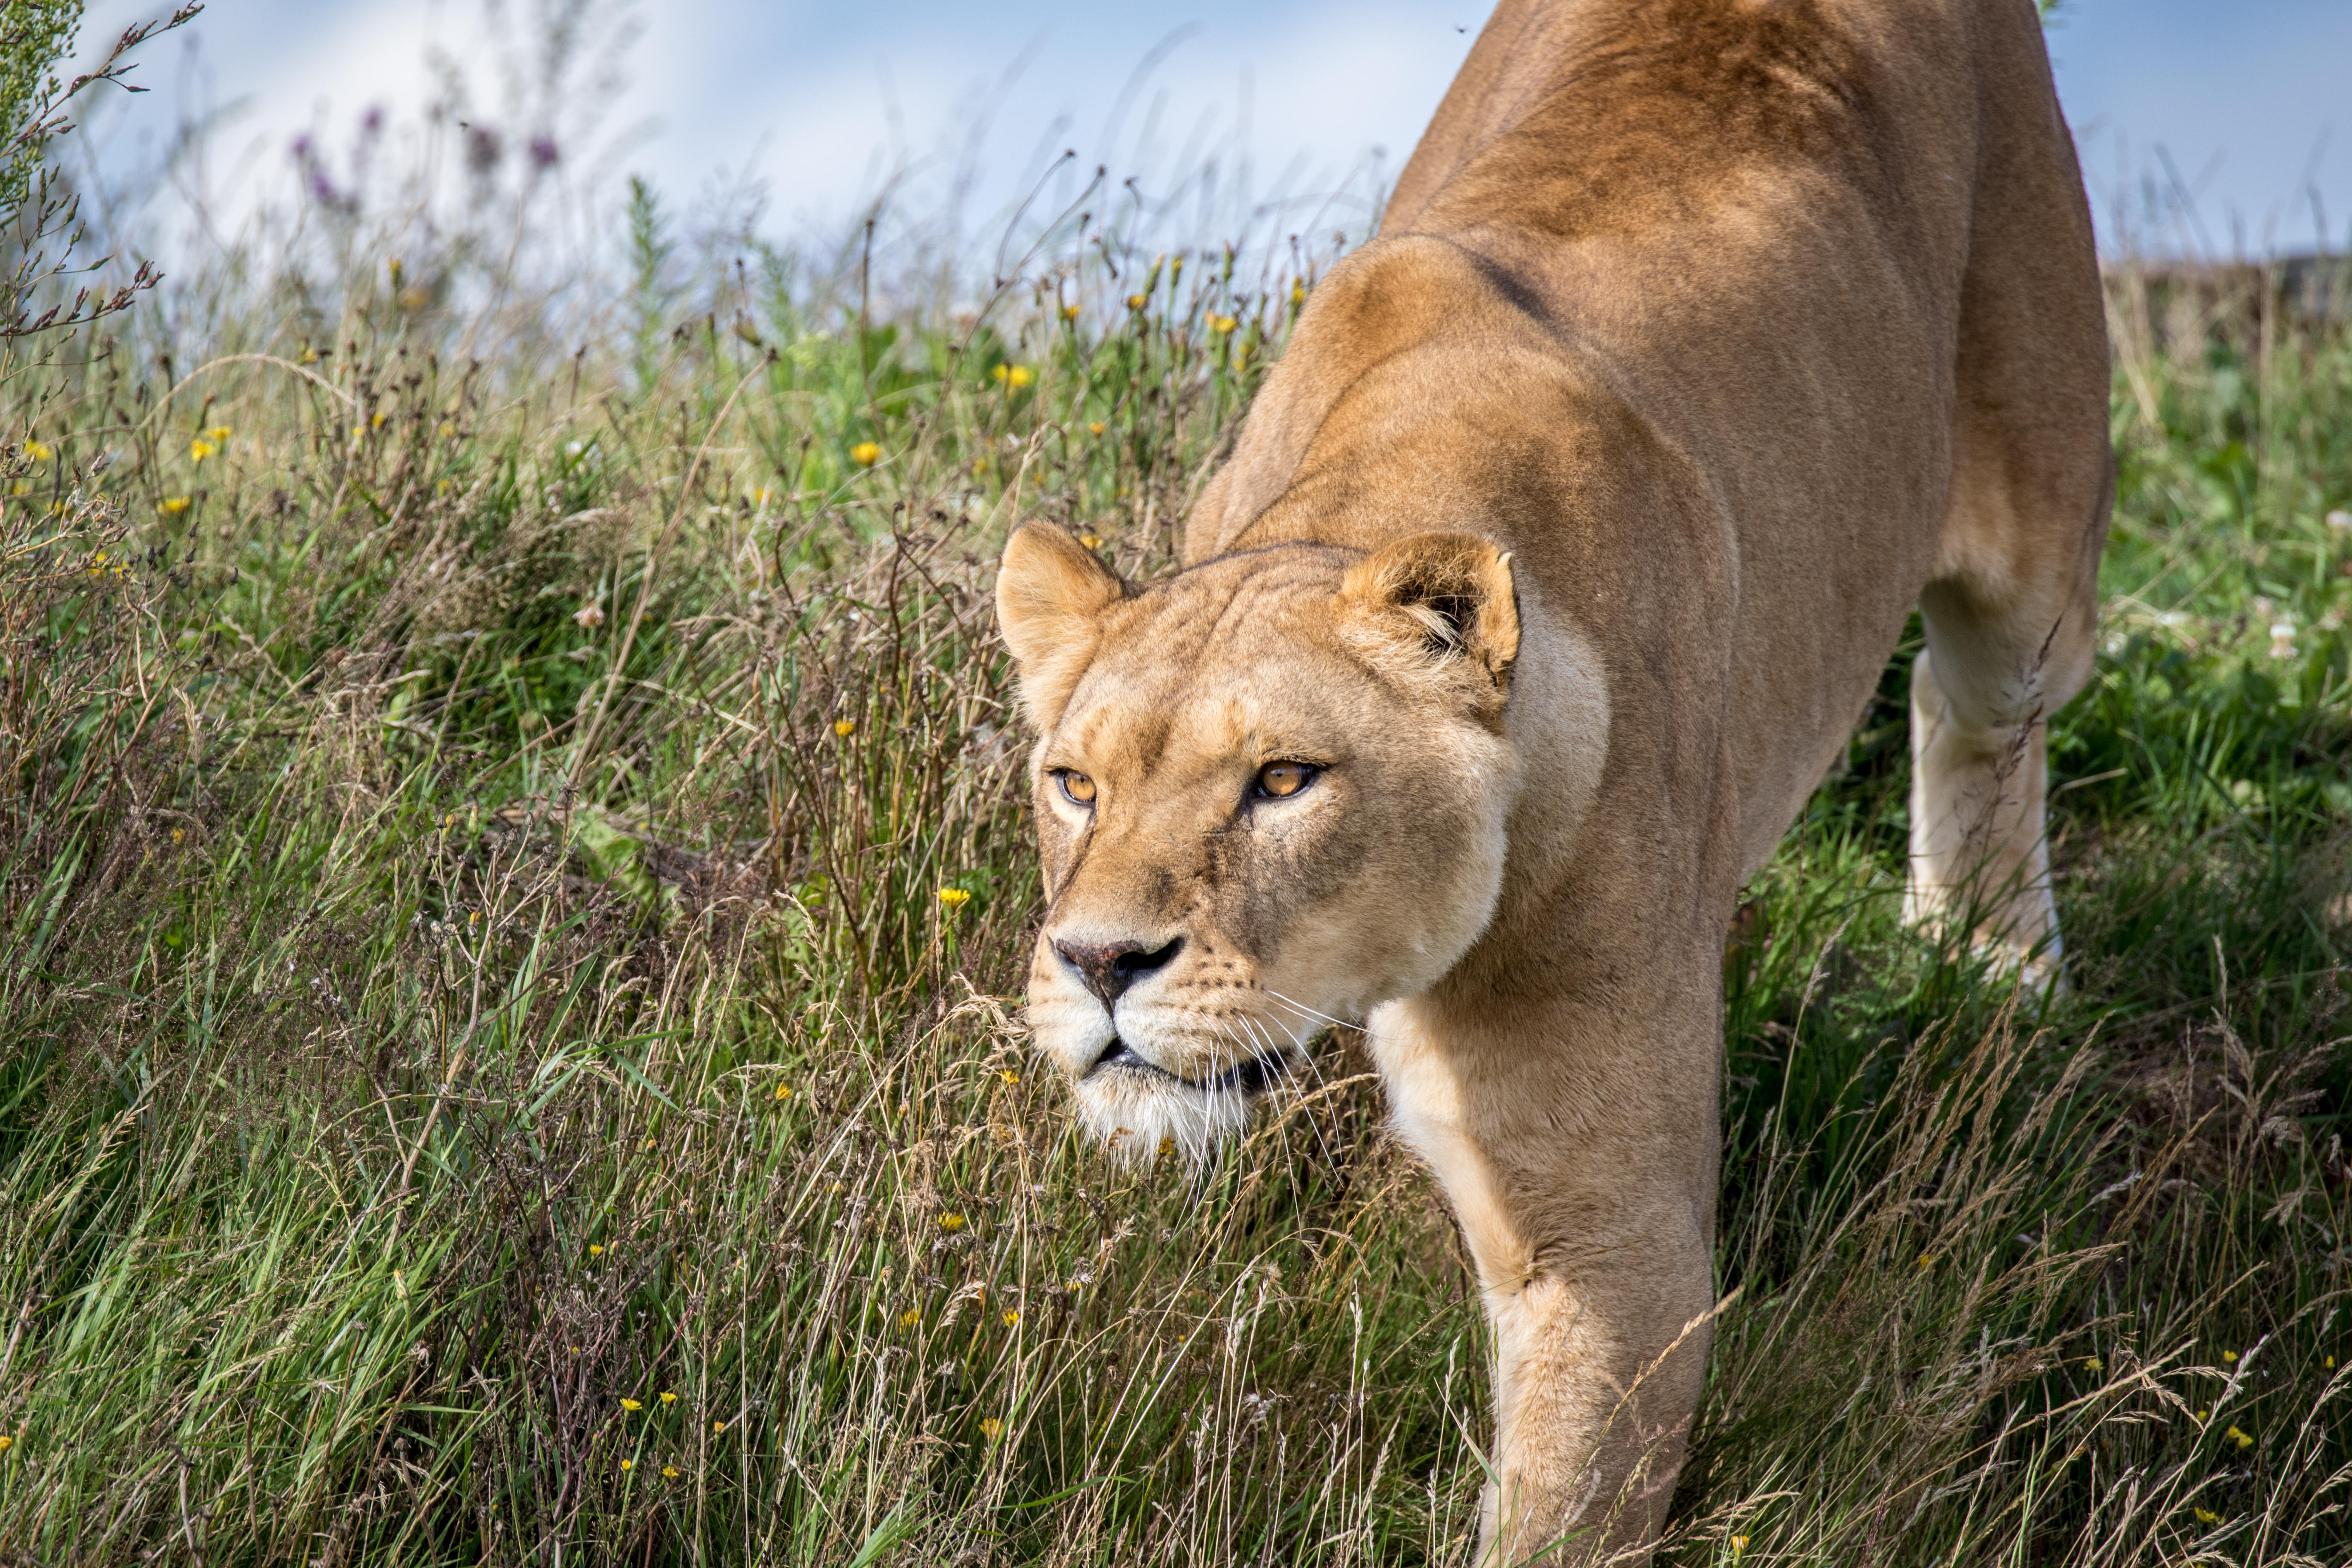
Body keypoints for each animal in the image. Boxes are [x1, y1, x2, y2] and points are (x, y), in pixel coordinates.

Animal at [993, 0, 2109, 1559]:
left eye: (1284, 779)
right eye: (1074, 785)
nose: (1097, 963)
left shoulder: (1614, 1238)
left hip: (2037, 558)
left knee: (1978, 707)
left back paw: (1994, 976)